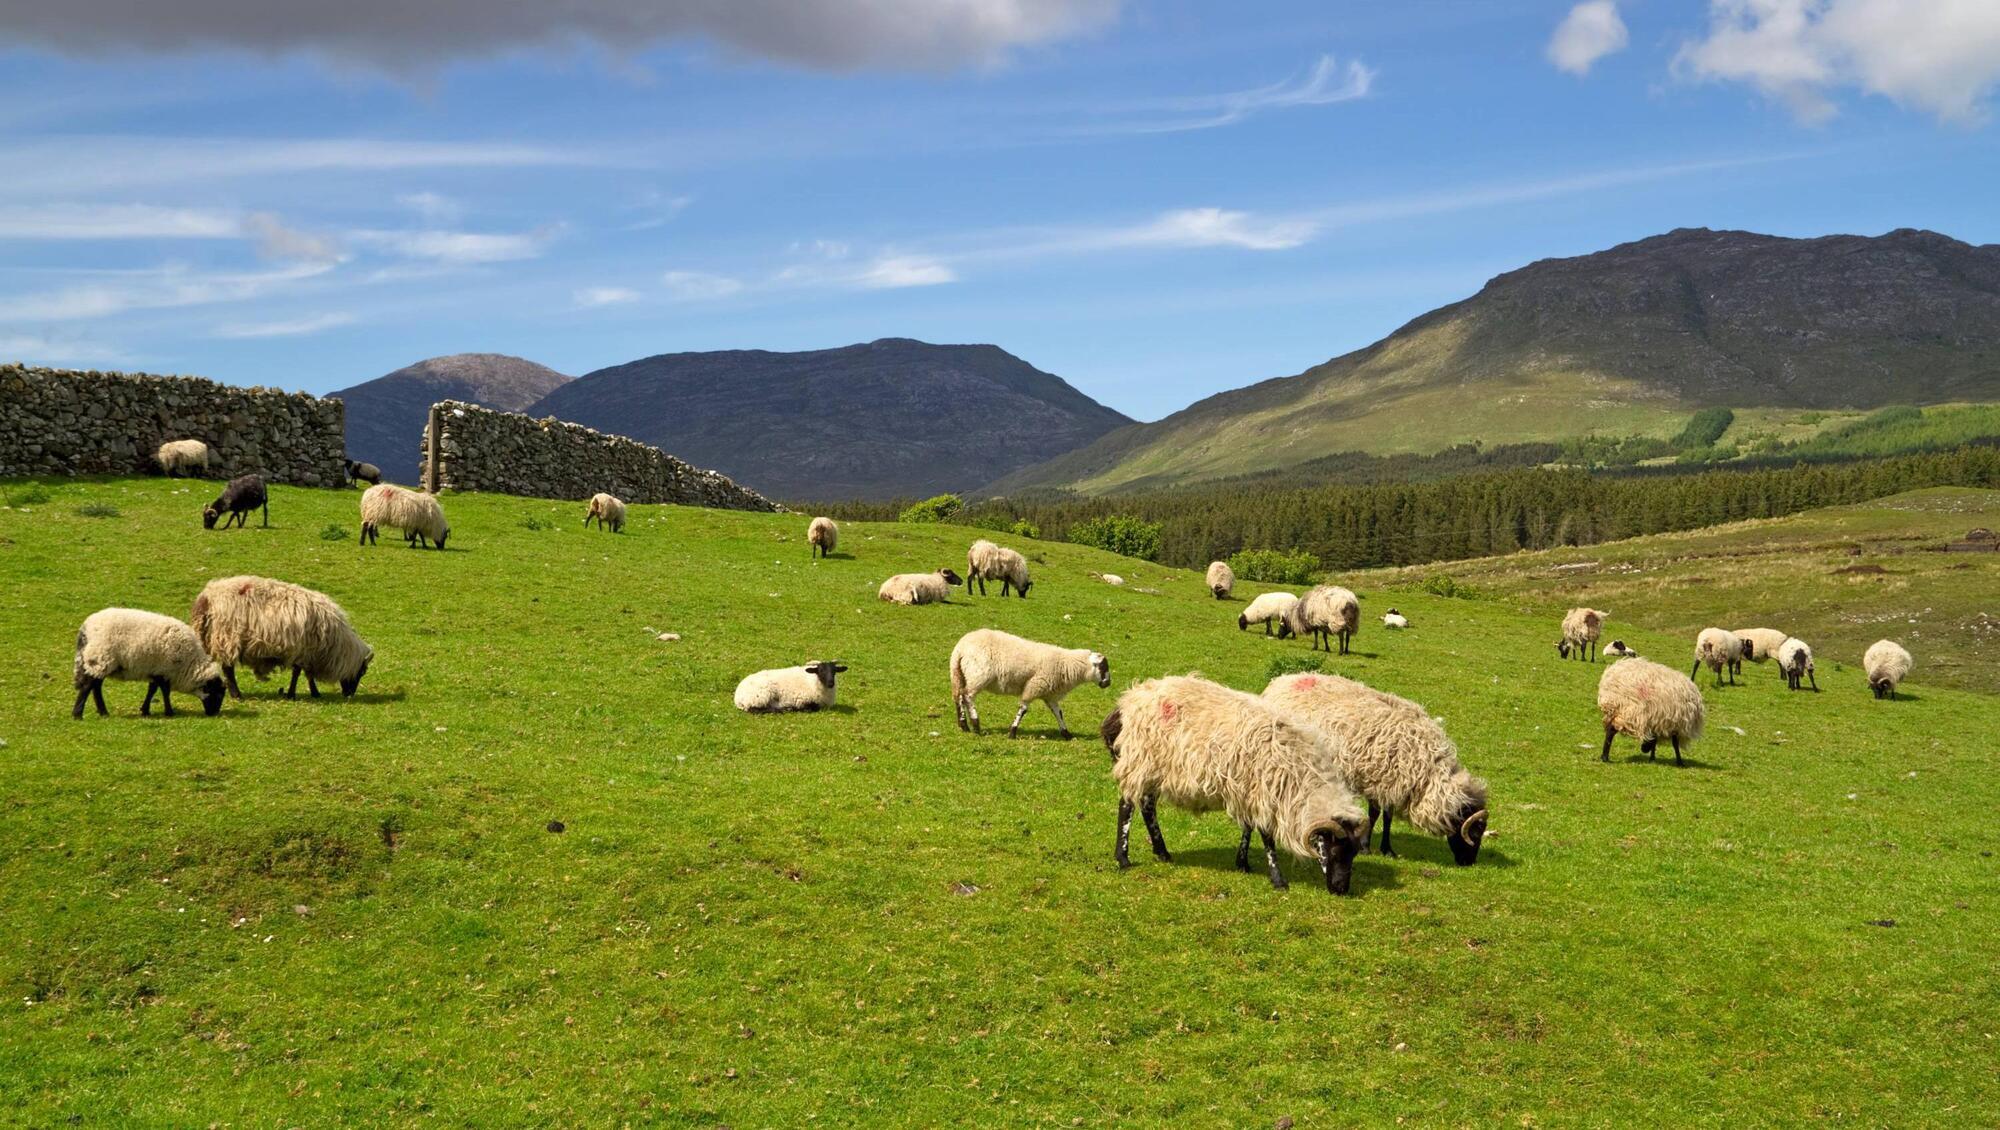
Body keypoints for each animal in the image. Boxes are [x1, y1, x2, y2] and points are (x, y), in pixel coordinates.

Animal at [72, 608, 225, 719]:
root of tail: (85, 629)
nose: (214, 714)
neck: (189, 665)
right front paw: (169, 712)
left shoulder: (156, 670)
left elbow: (152, 690)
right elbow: (165, 691)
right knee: (88, 685)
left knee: (96, 686)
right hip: (100, 657)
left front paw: (145, 710)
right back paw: (78, 714)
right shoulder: (165, 669)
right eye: (218, 694)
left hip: (98, 660)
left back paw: (103, 712)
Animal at [190, 575, 375, 700]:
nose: (349, 694)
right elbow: (299, 673)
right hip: (227, 637)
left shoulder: (307, 653)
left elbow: (305, 674)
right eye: (362, 671)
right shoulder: (304, 651)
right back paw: (237, 695)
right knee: (228, 669)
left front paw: (312, 692)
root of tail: (206, 597)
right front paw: (296, 694)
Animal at [949, 628, 1109, 739]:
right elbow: (1023, 709)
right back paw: (976, 724)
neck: (1066, 664)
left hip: (958, 674)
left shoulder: (1049, 694)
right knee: (968, 696)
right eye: (1103, 667)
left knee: (958, 697)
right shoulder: (1034, 686)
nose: (1108, 683)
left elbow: (1059, 713)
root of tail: (960, 649)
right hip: (978, 675)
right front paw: (1012, 733)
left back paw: (964, 725)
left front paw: (1066, 734)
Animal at [1101, 675, 1368, 894]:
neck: (1300, 775)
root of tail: (1127, 702)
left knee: (1147, 807)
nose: (1341, 890)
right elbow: (1267, 838)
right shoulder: (1262, 792)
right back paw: (1123, 858)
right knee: (1127, 805)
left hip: (1154, 770)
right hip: (1138, 761)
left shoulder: (1249, 791)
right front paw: (1278, 880)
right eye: (1335, 851)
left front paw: (1243, 863)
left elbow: (1248, 827)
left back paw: (1162, 852)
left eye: (1355, 853)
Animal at [1262, 672, 1488, 865]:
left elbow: (1386, 817)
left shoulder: (1390, 782)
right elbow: (1374, 814)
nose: (1468, 863)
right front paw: (1365, 847)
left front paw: (1387, 849)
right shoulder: (1377, 778)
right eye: (1475, 832)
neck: (1429, 774)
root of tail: (1282, 680)